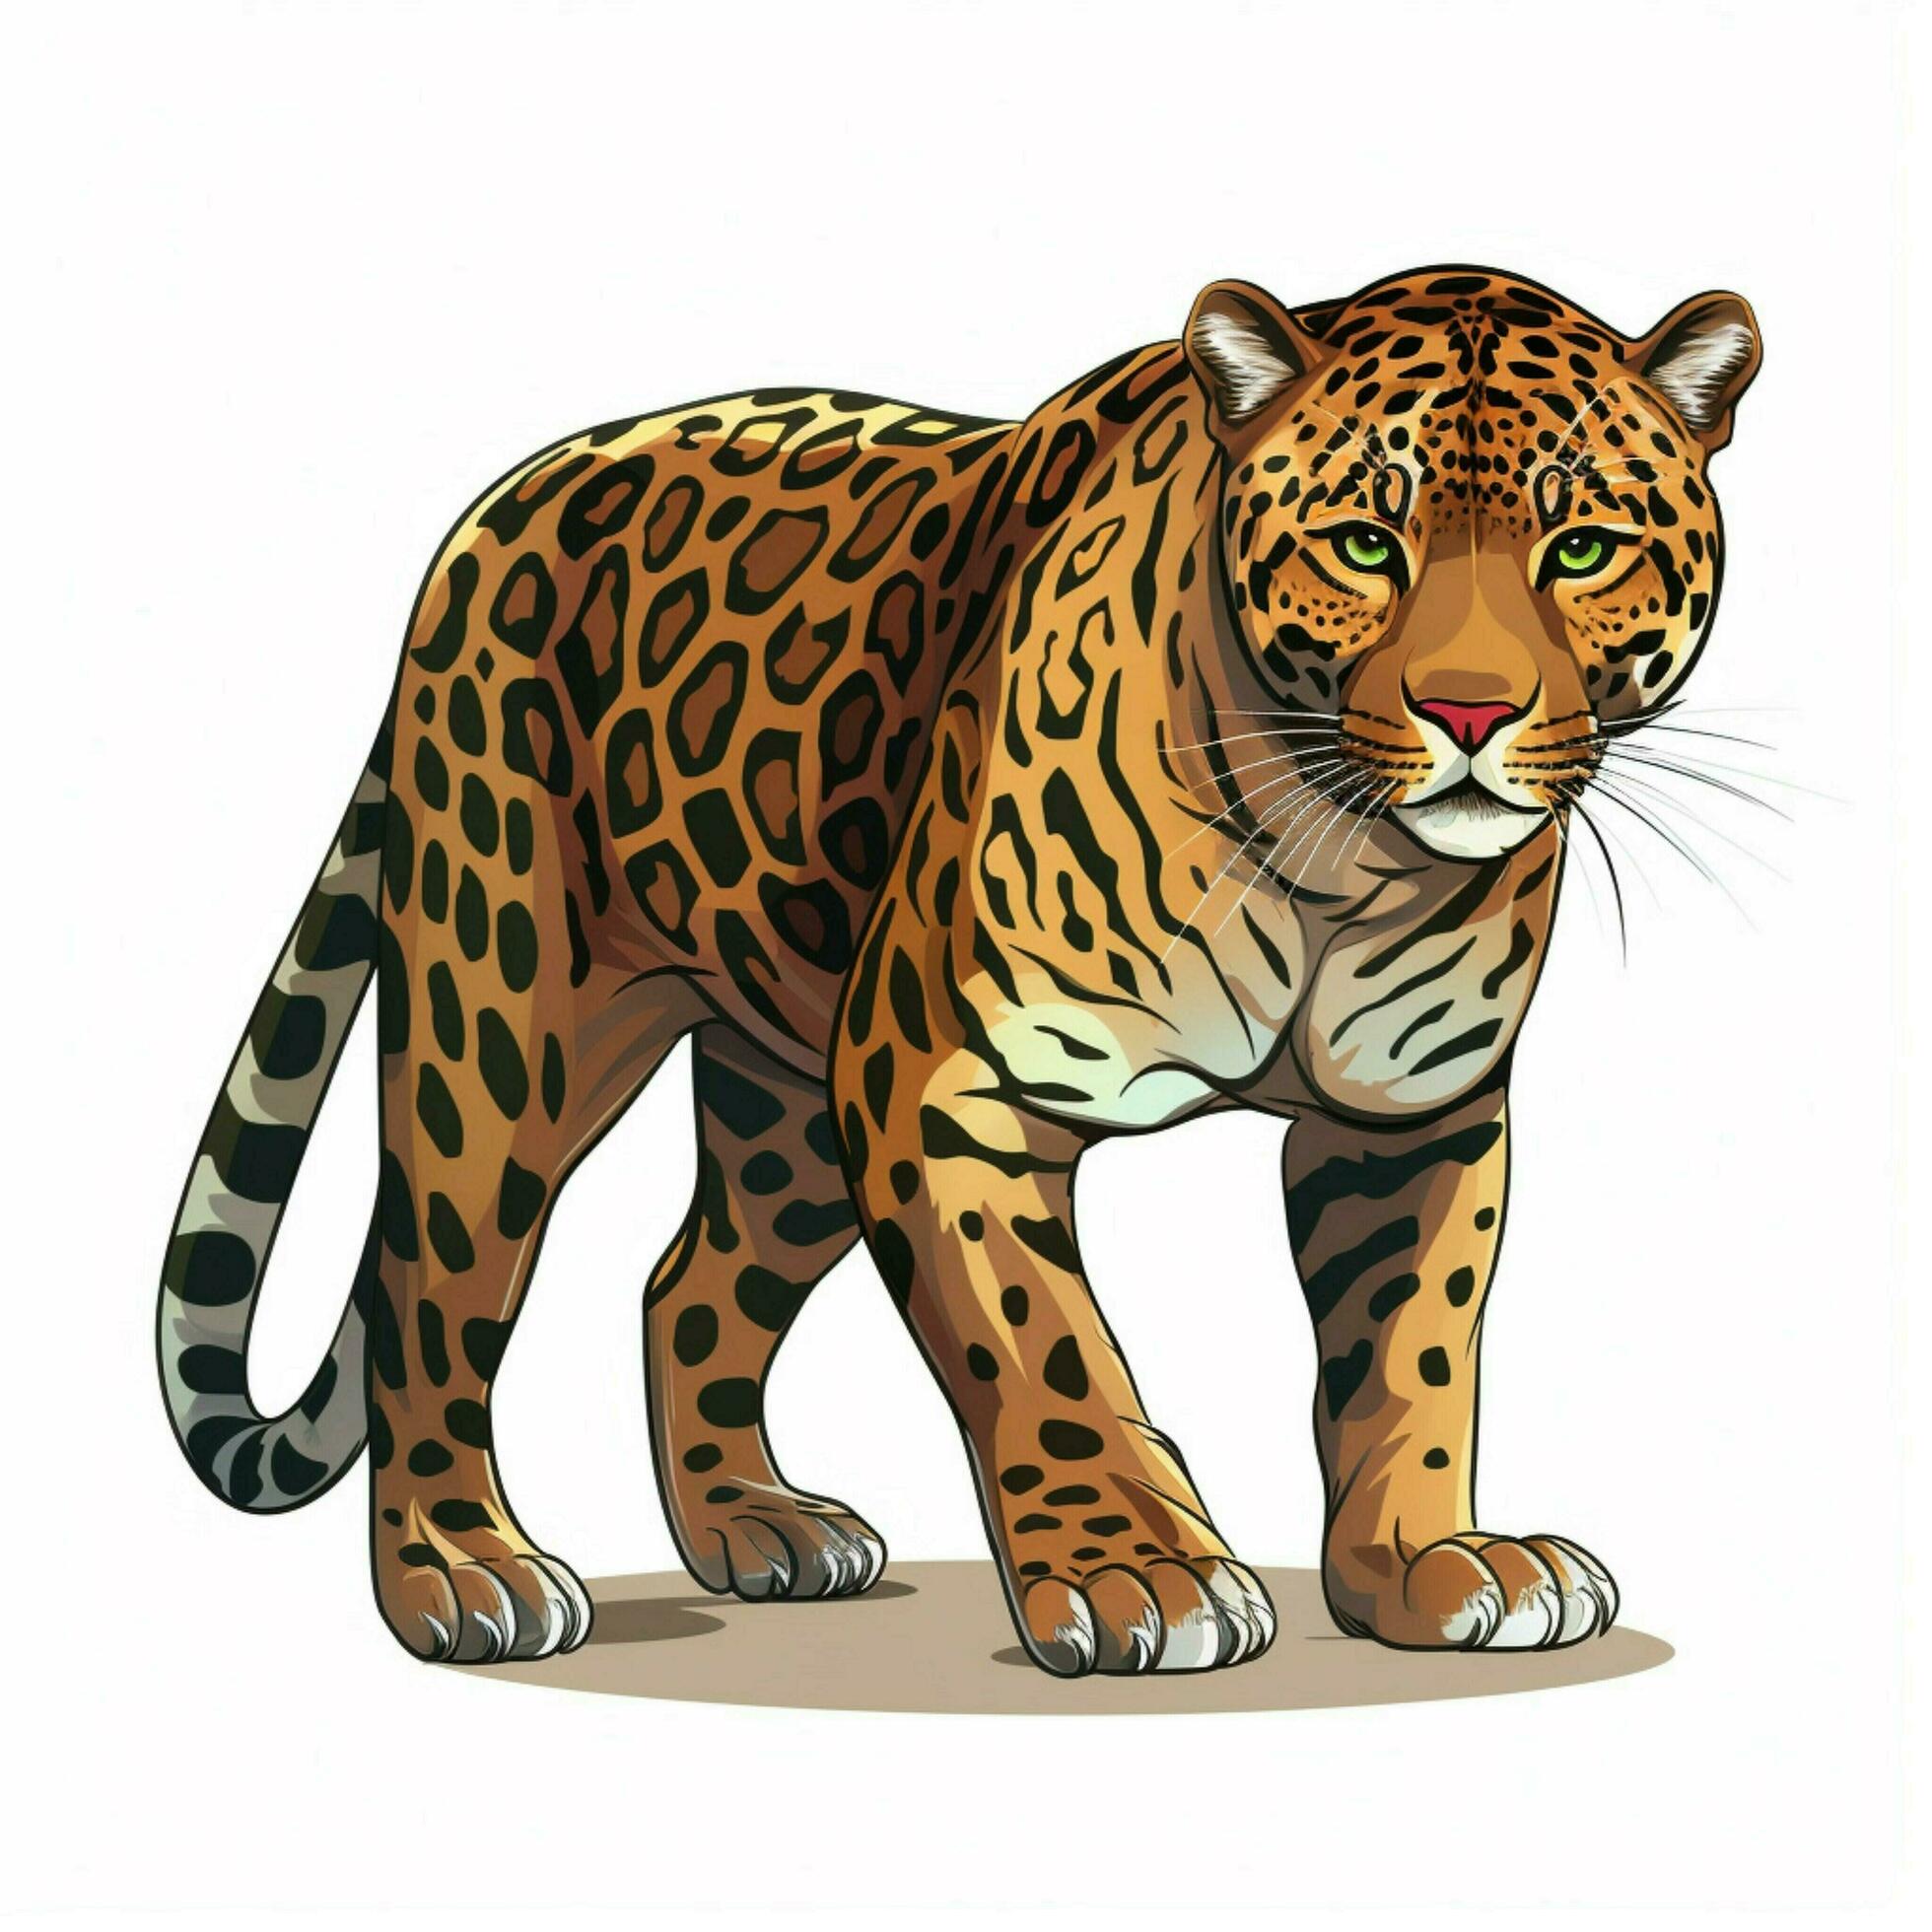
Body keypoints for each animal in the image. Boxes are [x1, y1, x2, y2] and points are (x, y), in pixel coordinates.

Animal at [159, 264, 1760, 1675]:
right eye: (1366, 545)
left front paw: (1422, 1563)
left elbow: (1411, 1364)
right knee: (433, 1279)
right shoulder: (944, 1081)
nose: (1470, 712)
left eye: (1582, 548)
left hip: (792, 1076)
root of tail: (513, 496)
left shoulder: (1408, 1119)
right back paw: (459, 1571)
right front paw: (1139, 1575)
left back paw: (754, 1527)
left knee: (687, 1282)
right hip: (504, 1016)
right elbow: (1044, 1349)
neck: (1340, 863)